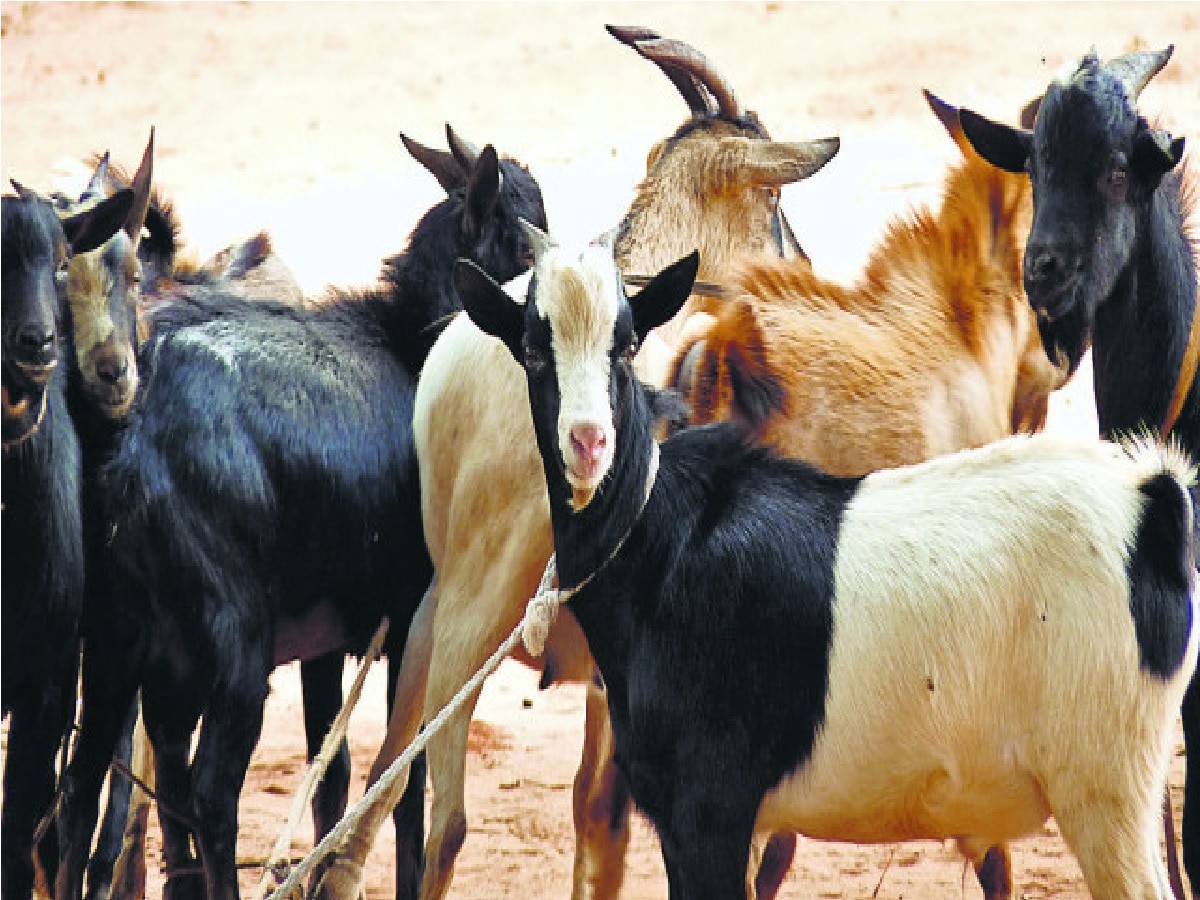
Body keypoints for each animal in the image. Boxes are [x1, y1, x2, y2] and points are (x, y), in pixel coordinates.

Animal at [53, 127, 547, 900]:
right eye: (526, 238)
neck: (410, 345)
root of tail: (134, 434)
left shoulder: (326, 636)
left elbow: (333, 773)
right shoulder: (411, 616)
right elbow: (401, 780)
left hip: (113, 635)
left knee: (81, 786)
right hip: (233, 645)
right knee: (210, 793)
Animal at [311, 25, 839, 900]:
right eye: (772, 202)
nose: (803, 274)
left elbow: (600, 821)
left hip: (436, 611)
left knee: (377, 800)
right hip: (470, 611)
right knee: (442, 823)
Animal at [456, 222, 1199, 900]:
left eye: (628, 343)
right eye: (533, 349)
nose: (589, 443)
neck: (663, 539)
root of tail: (1149, 497)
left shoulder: (707, 812)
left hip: (1104, 789)